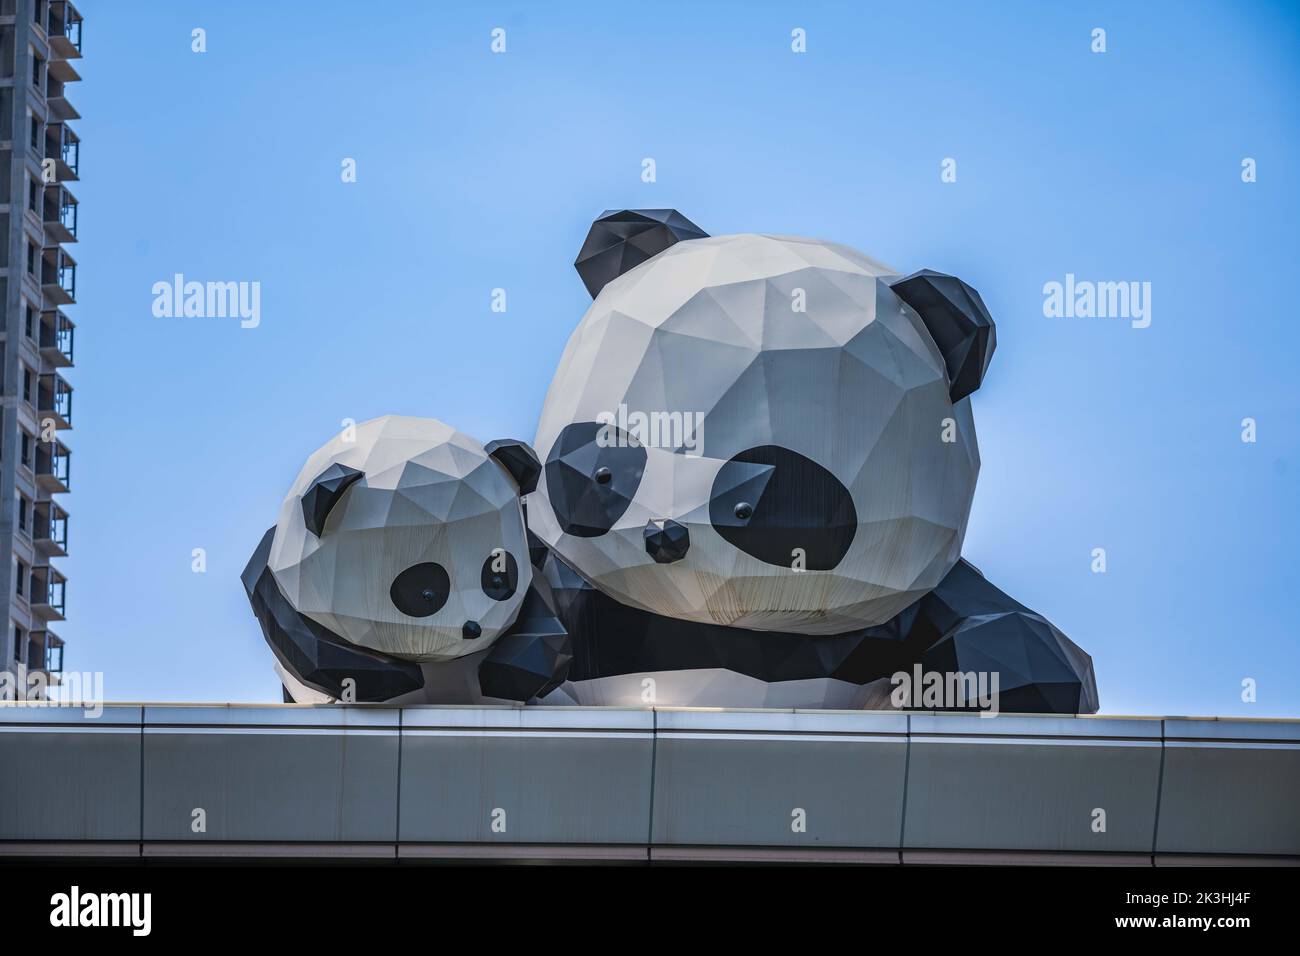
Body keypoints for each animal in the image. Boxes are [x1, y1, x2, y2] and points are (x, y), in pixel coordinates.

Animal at [242, 415, 571, 704]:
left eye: (499, 578)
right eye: (425, 592)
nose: (473, 628)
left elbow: (546, 609)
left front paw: (512, 669)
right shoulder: (271, 580)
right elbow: (310, 648)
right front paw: (398, 675)